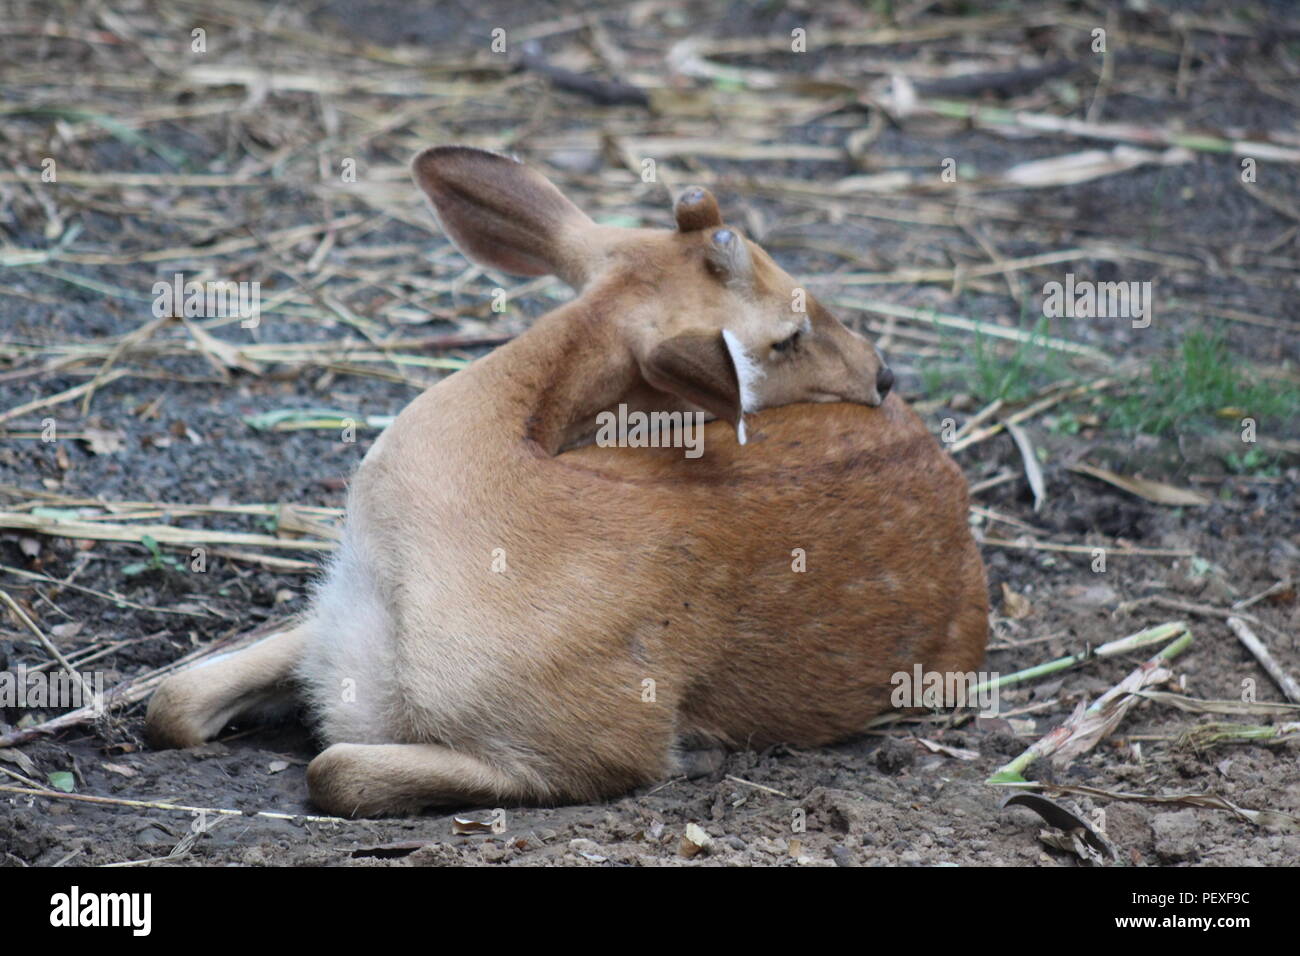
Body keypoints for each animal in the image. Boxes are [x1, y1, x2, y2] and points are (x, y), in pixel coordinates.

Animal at [144, 146, 989, 817]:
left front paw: (698, 752)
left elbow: (335, 770)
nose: (883, 374)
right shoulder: (325, 626)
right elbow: (171, 700)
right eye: (788, 334)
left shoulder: (595, 742)